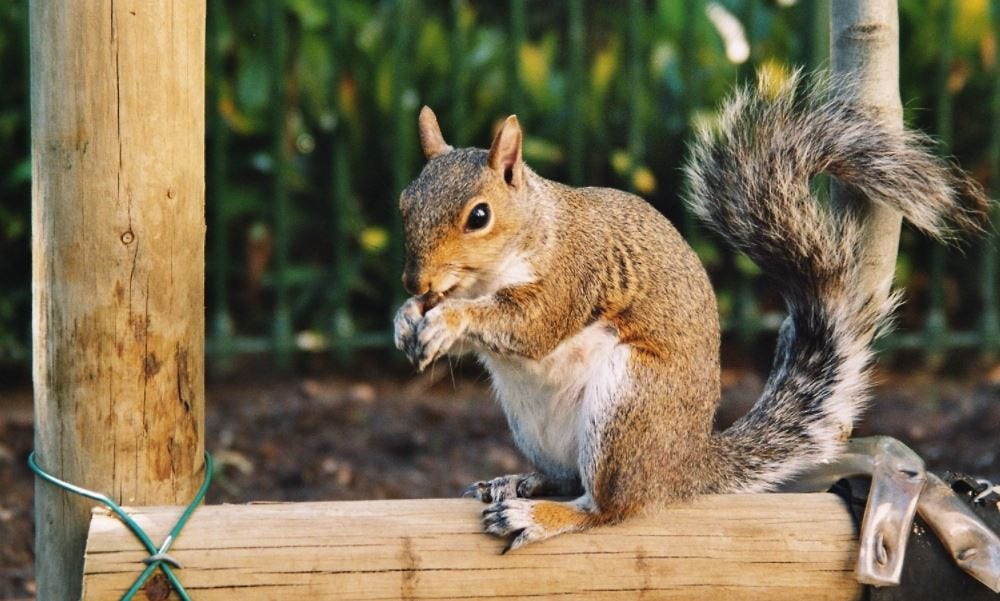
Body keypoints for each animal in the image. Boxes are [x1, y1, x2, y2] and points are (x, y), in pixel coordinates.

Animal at [393, 70, 989, 552]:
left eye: (480, 216)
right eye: (404, 203)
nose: (415, 281)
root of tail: (683, 466)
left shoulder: (573, 275)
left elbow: (531, 324)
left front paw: (449, 319)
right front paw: (406, 317)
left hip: (629, 406)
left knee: (610, 506)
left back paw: (537, 516)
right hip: (533, 422)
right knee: (570, 479)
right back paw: (518, 483)